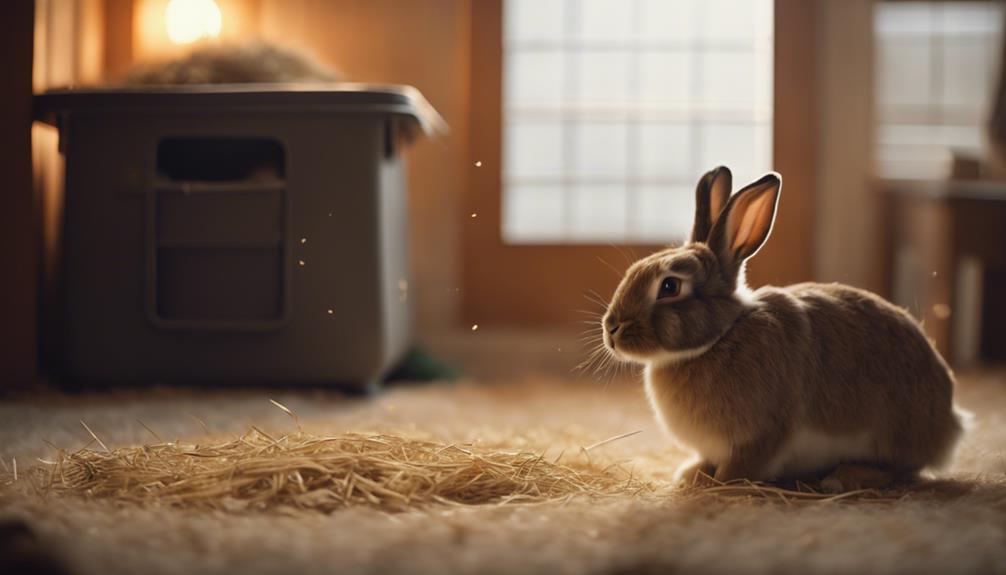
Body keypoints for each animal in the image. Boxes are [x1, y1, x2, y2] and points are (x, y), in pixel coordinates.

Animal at [601, 166, 968, 491]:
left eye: (669, 287)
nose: (611, 329)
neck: (720, 336)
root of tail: (951, 421)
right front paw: (691, 475)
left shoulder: (763, 434)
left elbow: (739, 468)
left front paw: (718, 484)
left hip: (891, 431)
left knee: (903, 469)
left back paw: (843, 478)